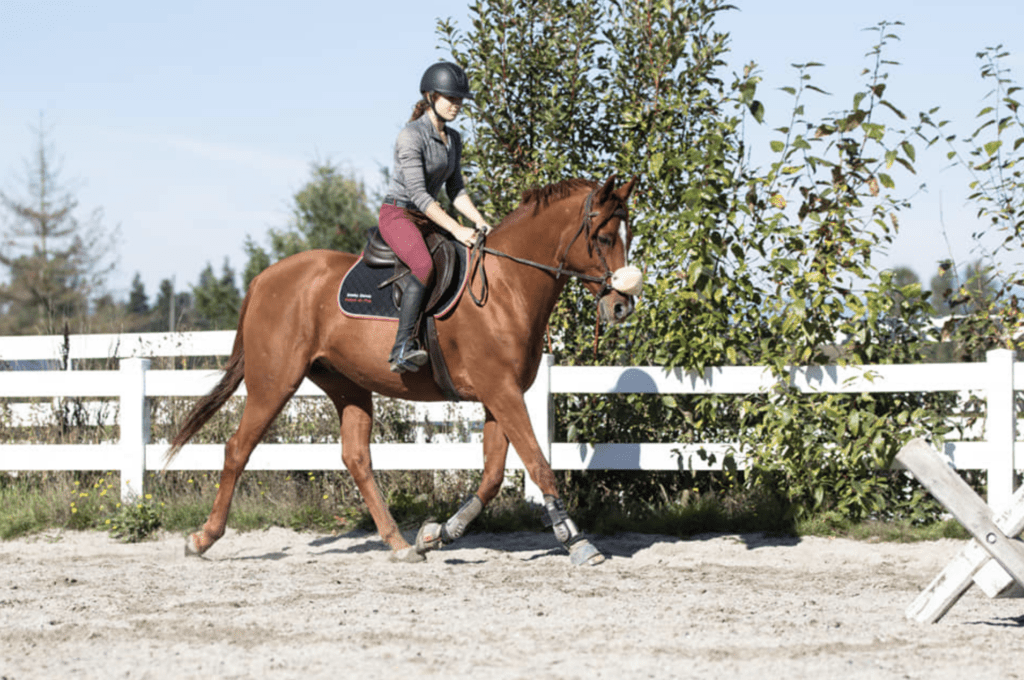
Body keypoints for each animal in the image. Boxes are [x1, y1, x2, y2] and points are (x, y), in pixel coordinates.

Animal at [165, 175, 640, 566]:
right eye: (603, 237)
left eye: (628, 235)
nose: (621, 306)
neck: (507, 287)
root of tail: (265, 279)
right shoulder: (502, 393)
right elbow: (538, 464)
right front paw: (577, 542)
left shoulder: (498, 397)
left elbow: (491, 477)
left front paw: (438, 534)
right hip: (274, 382)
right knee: (237, 449)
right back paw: (203, 539)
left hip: (347, 386)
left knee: (356, 458)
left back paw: (399, 544)